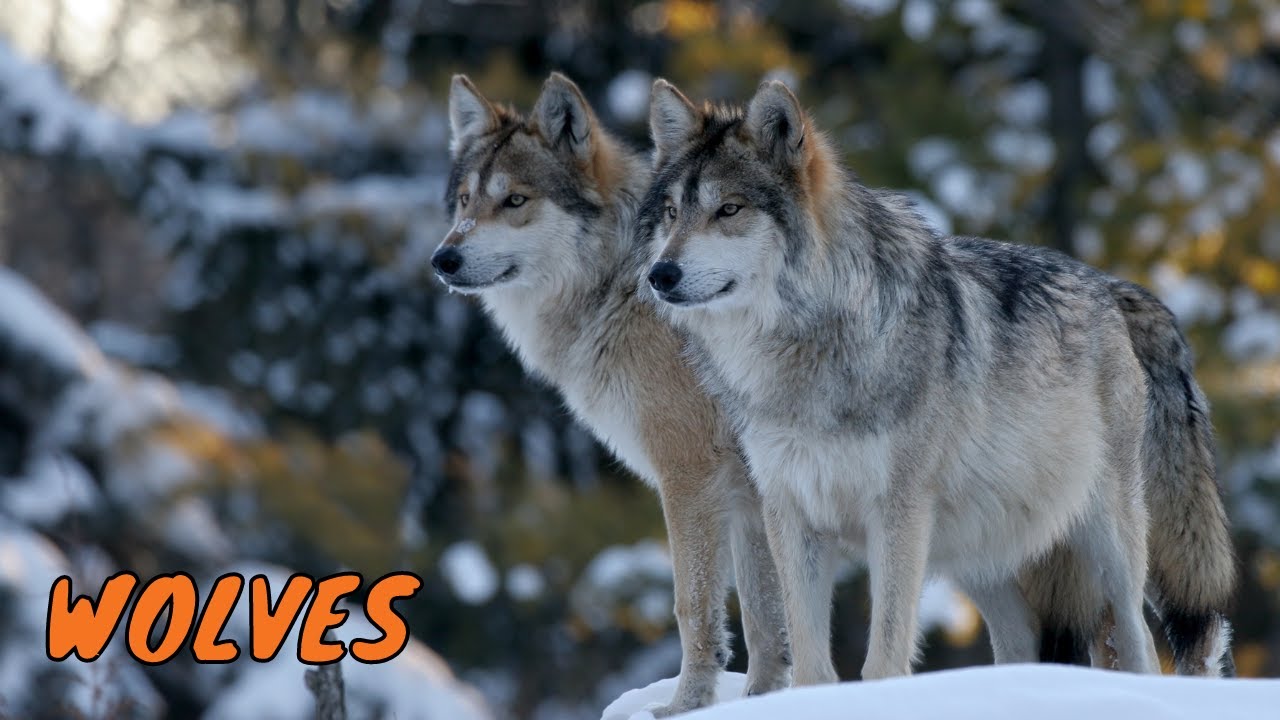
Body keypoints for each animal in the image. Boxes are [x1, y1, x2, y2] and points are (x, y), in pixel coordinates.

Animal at [430, 73, 791, 715]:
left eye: (515, 201)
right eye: (466, 201)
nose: (442, 258)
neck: (617, 287)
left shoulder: (690, 475)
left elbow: (692, 607)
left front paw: (683, 705)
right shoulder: (749, 493)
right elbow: (766, 623)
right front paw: (761, 700)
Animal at [640, 78, 1236, 683]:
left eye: (728, 209)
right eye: (671, 212)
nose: (659, 274)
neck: (804, 351)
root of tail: (1112, 287)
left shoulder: (897, 513)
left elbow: (883, 658)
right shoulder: (790, 513)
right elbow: (810, 664)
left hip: (1105, 536)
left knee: (1139, 641)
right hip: (979, 555)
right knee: (1022, 644)